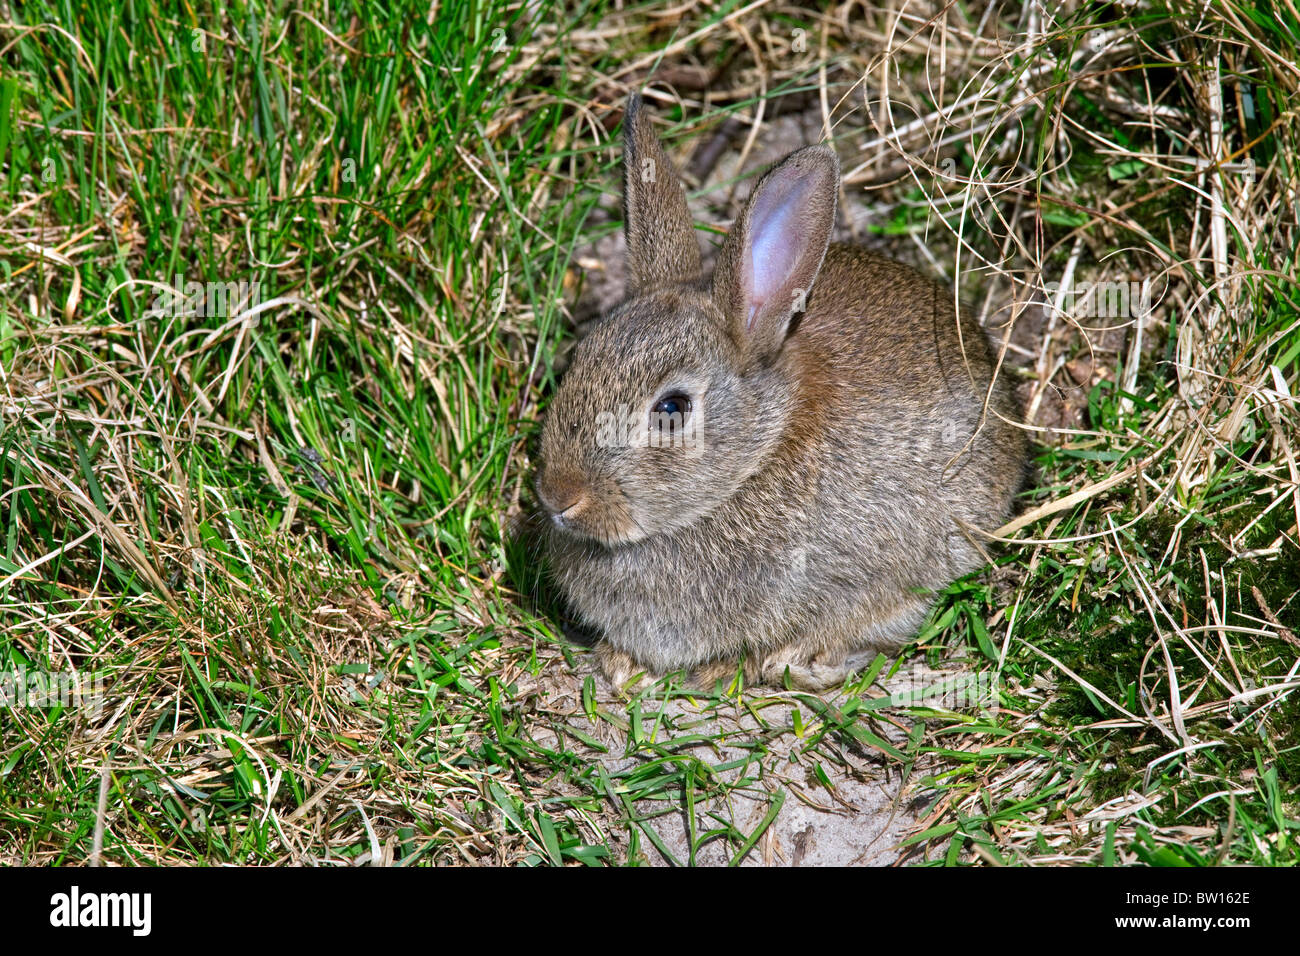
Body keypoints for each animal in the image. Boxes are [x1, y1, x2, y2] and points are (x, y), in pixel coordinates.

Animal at [535, 93, 1027, 691]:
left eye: (673, 408)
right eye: (578, 357)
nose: (558, 496)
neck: (755, 461)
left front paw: (760, 665)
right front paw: (621, 662)